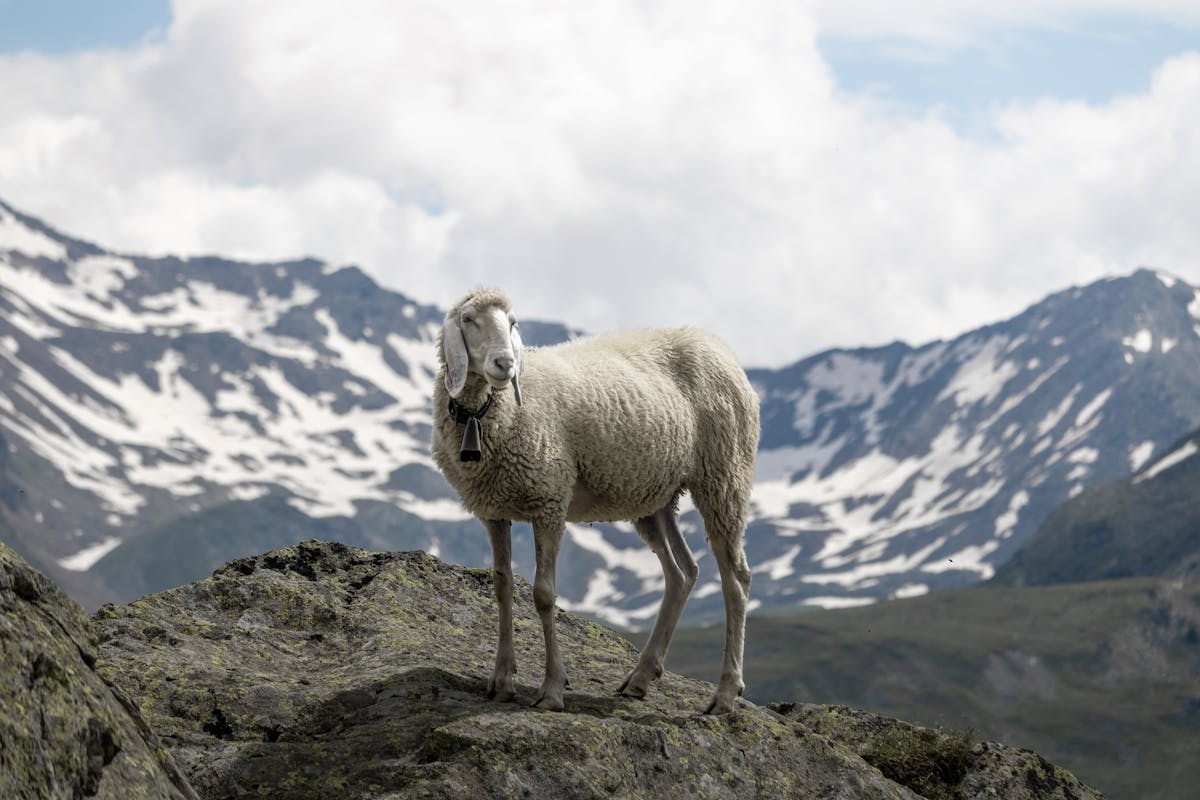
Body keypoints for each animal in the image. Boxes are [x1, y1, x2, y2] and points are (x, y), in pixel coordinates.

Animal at [431, 287, 759, 714]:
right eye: (468, 319)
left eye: (513, 323)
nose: (505, 364)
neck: (489, 411)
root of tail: (718, 346)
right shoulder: (493, 510)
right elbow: (502, 588)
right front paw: (501, 681)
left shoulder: (550, 499)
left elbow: (544, 595)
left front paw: (552, 689)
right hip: (653, 495)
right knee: (683, 572)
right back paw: (641, 677)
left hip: (724, 475)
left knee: (736, 580)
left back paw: (726, 693)